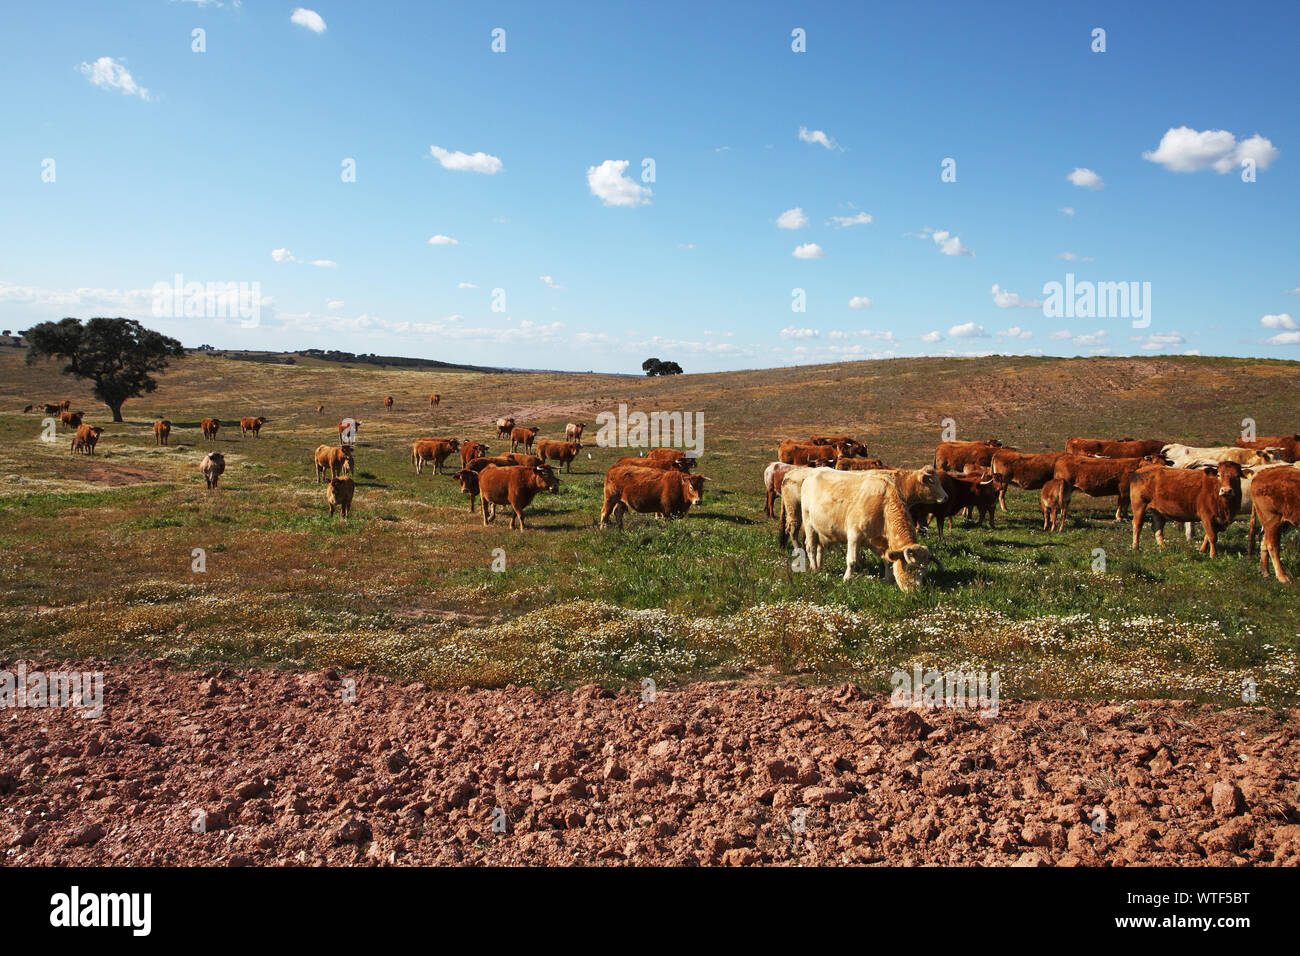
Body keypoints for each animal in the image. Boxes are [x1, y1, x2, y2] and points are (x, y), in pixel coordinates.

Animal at [799, 470, 936, 590]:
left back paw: (819, 567)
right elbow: (852, 560)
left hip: (821, 530)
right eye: (910, 569)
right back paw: (814, 568)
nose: (915, 591)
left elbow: (887, 561)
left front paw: (888, 580)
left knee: (820, 547)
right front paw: (847, 579)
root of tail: (812, 474)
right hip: (808, 522)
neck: (883, 506)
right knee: (811, 547)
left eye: (924, 572)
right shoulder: (854, 535)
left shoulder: (883, 544)